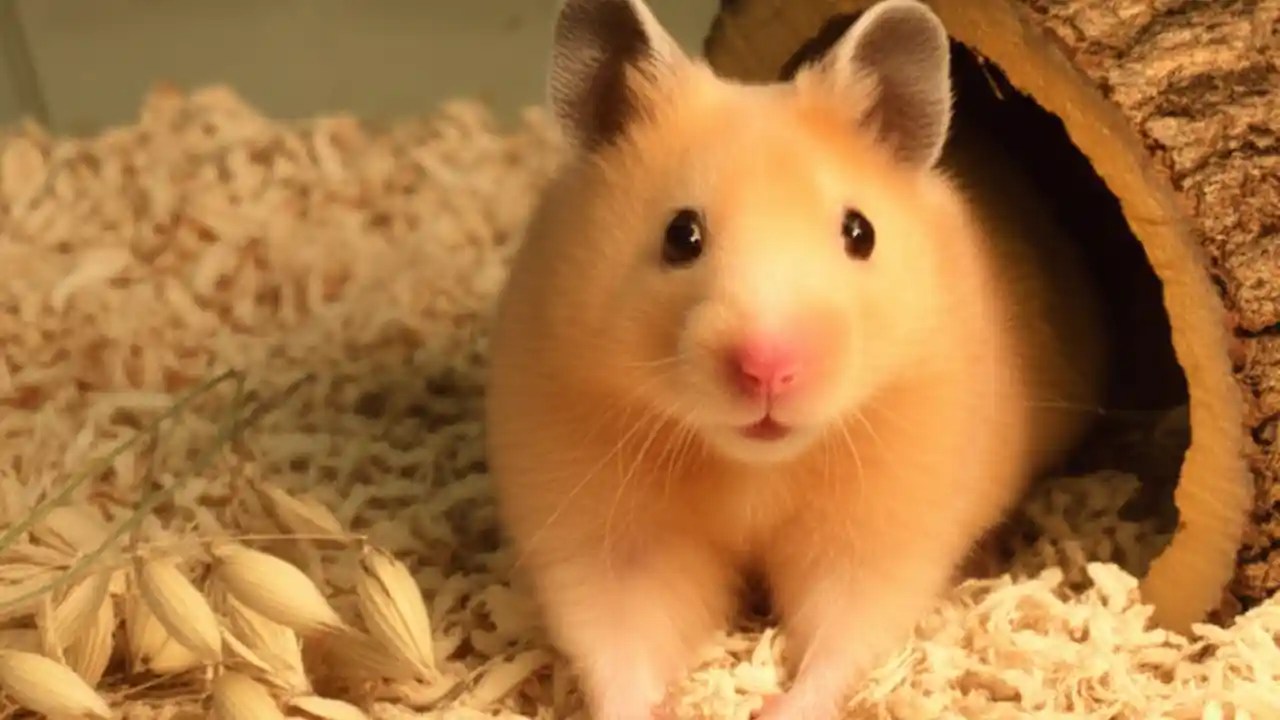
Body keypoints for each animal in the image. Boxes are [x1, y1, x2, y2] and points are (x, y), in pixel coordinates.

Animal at [483, 0, 1107, 718]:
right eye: (681, 235)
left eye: (860, 232)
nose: (768, 368)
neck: (753, 467)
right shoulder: (608, 531)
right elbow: (622, 644)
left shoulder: (881, 533)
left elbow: (842, 637)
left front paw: (775, 707)